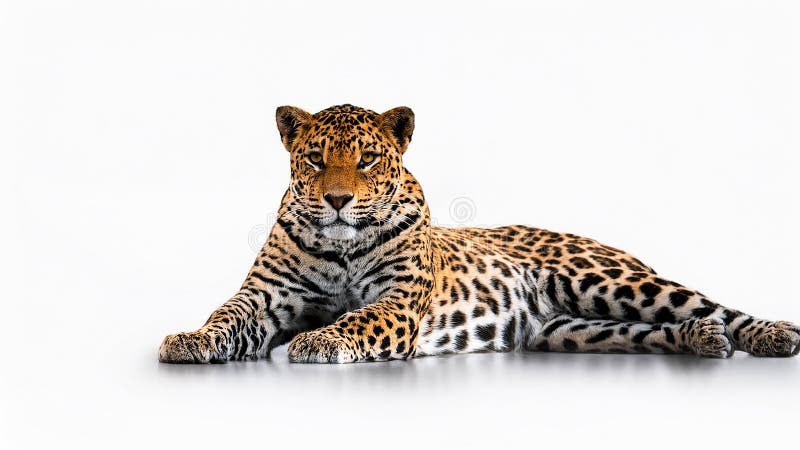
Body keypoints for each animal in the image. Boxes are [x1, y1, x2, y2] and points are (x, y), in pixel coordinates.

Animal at [159, 104, 800, 364]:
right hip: (571, 331)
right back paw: (700, 340)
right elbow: (225, 315)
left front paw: (318, 341)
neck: (341, 245)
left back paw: (772, 335)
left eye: (367, 160)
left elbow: (358, 318)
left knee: (718, 307)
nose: (338, 200)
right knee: (652, 332)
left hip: (611, 281)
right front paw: (188, 338)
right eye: (315, 159)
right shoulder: (265, 297)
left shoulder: (398, 303)